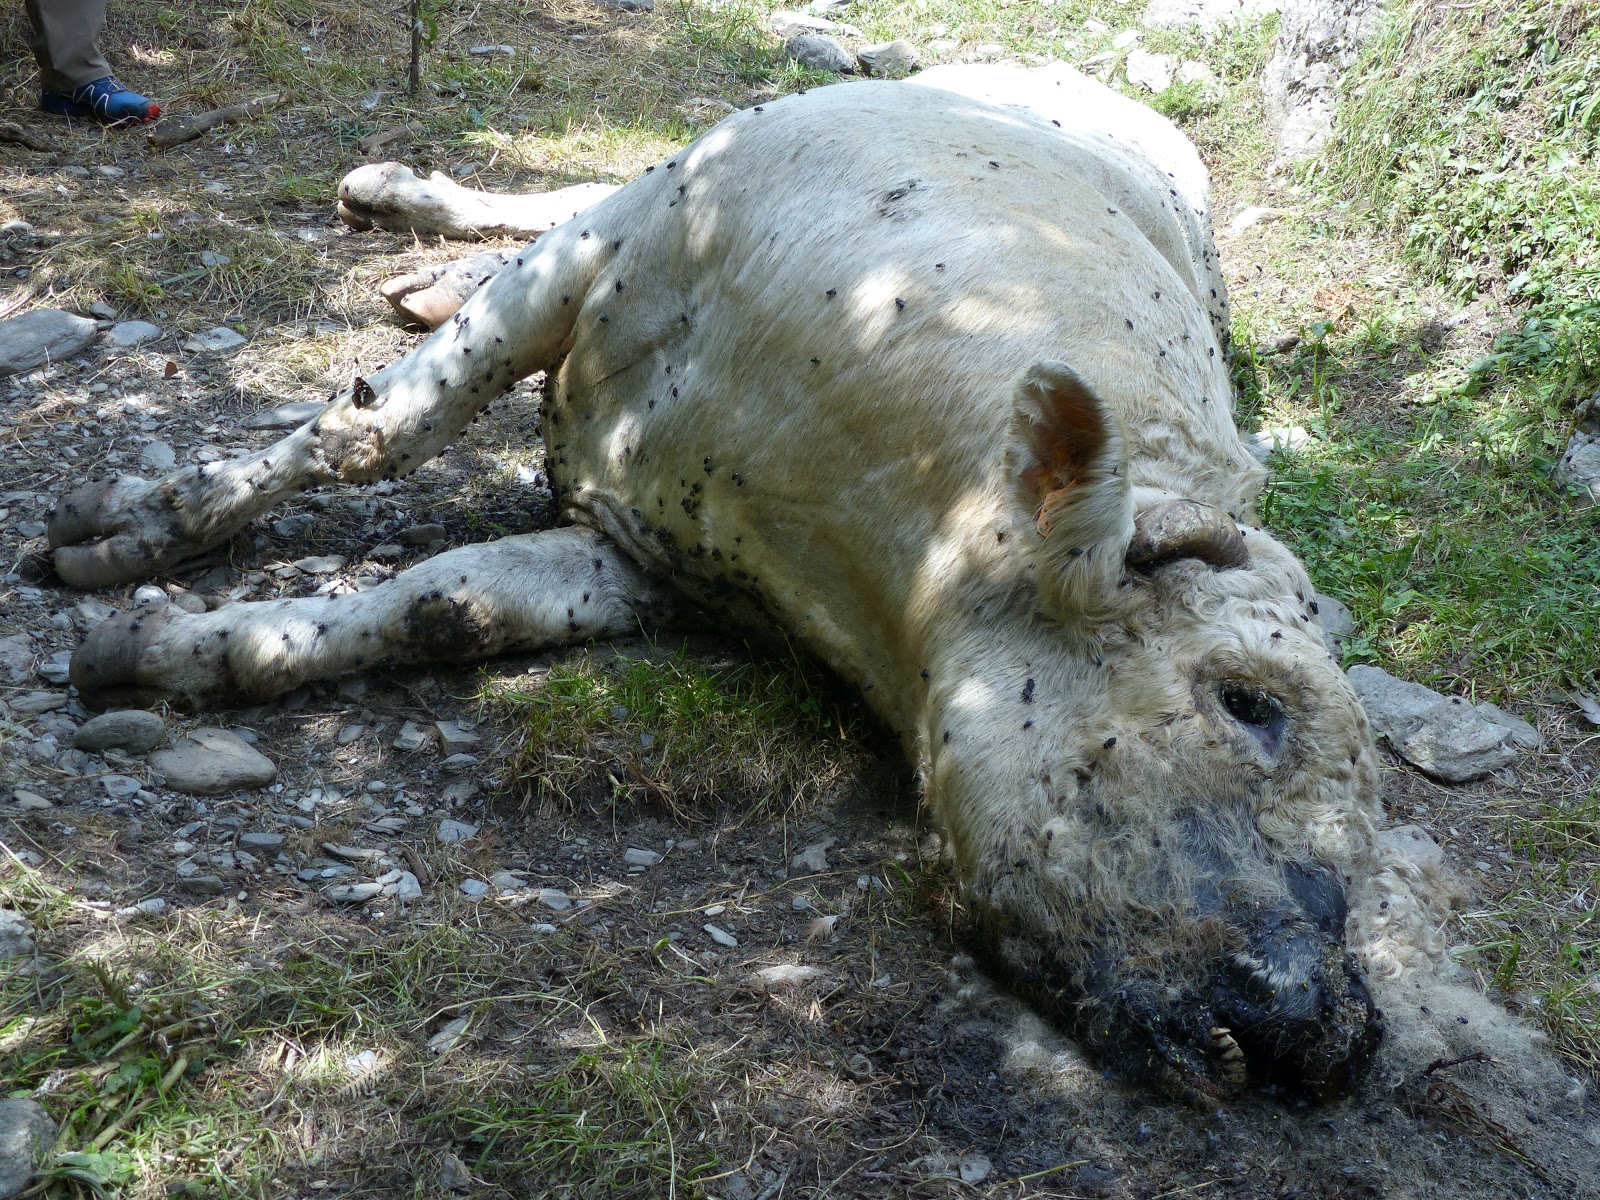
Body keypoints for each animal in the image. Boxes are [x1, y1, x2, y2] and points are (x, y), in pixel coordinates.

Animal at [49, 64, 1481, 1106]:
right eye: (1247, 702)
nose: (1323, 1035)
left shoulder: (652, 560)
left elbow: (444, 604)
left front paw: (166, 652)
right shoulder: (600, 251)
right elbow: (371, 434)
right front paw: (127, 535)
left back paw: (417, 274)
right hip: (647, 178)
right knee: (537, 197)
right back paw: (399, 200)